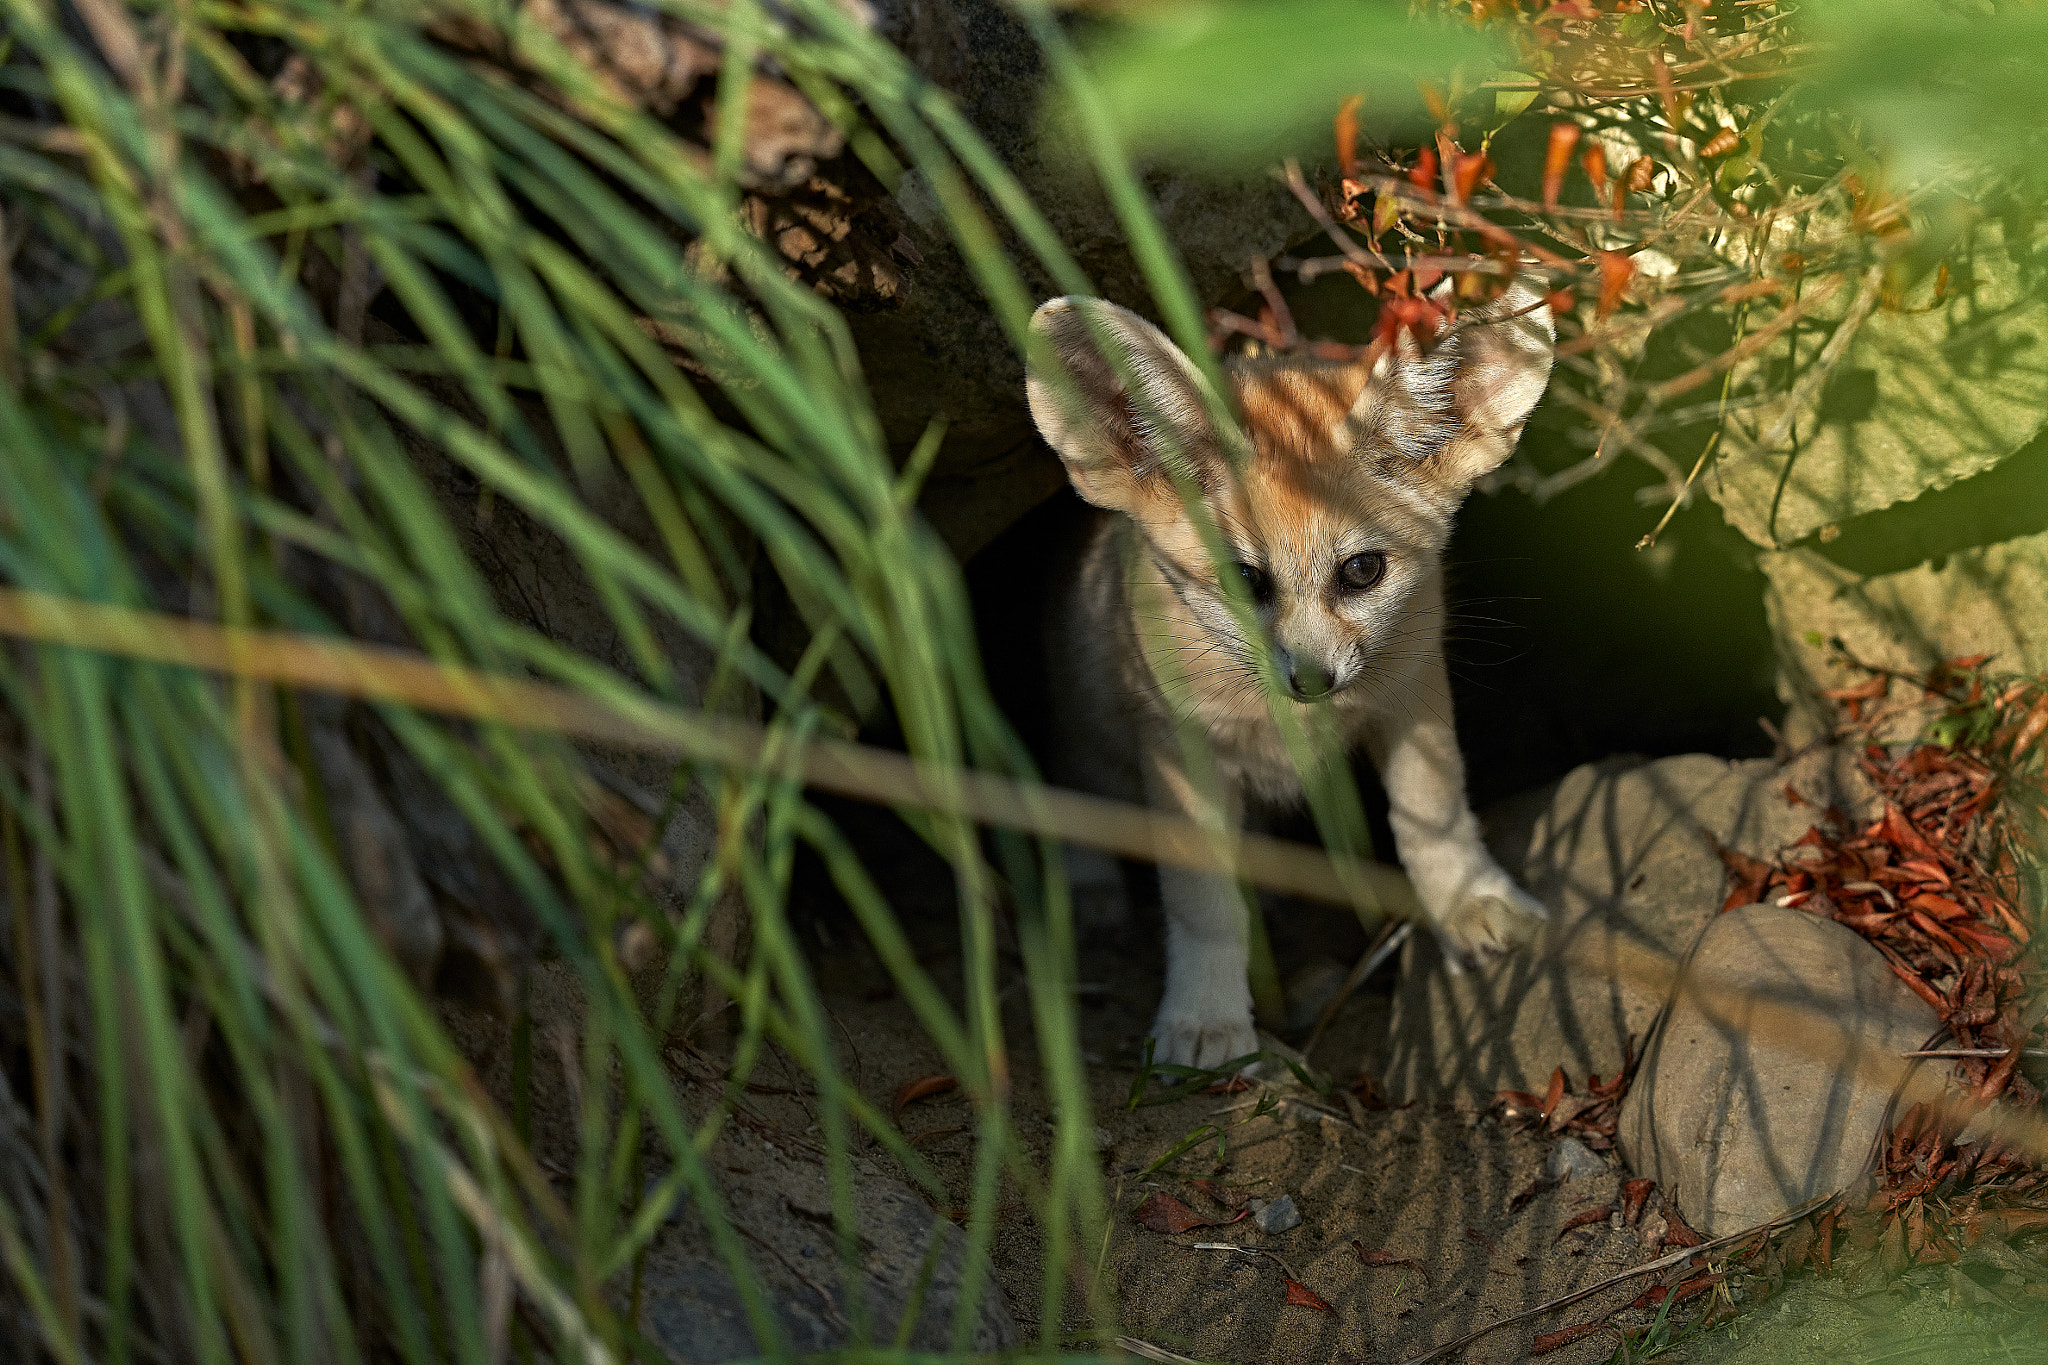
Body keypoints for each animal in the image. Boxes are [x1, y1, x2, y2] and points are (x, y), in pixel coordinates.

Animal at [1025, 282, 1557, 1070]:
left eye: (1362, 570)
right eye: (1245, 580)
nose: (1311, 681)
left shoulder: (1412, 691)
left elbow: (1432, 815)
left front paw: (1468, 899)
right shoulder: (1180, 752)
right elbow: (1203, 903)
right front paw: (1205, 1017)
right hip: (1093, 731)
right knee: (1069, 778)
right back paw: (1088, 884)